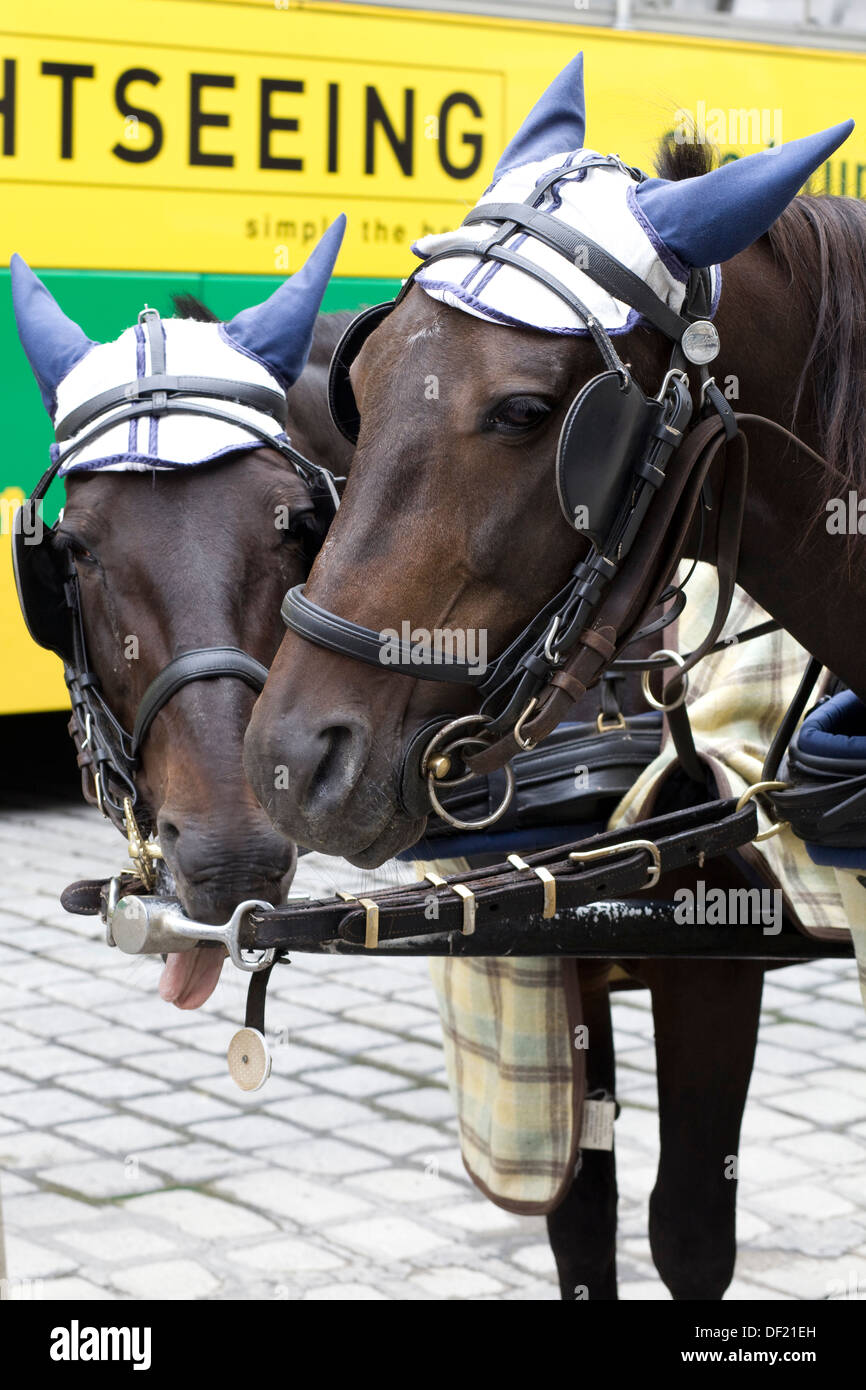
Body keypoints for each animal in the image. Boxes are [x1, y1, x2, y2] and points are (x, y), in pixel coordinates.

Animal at [242, 57, 865, 1297]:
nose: (290, 758)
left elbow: (681, 1227)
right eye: (361, 378)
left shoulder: (709, 955)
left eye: (529, 410)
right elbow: (585, 1210)